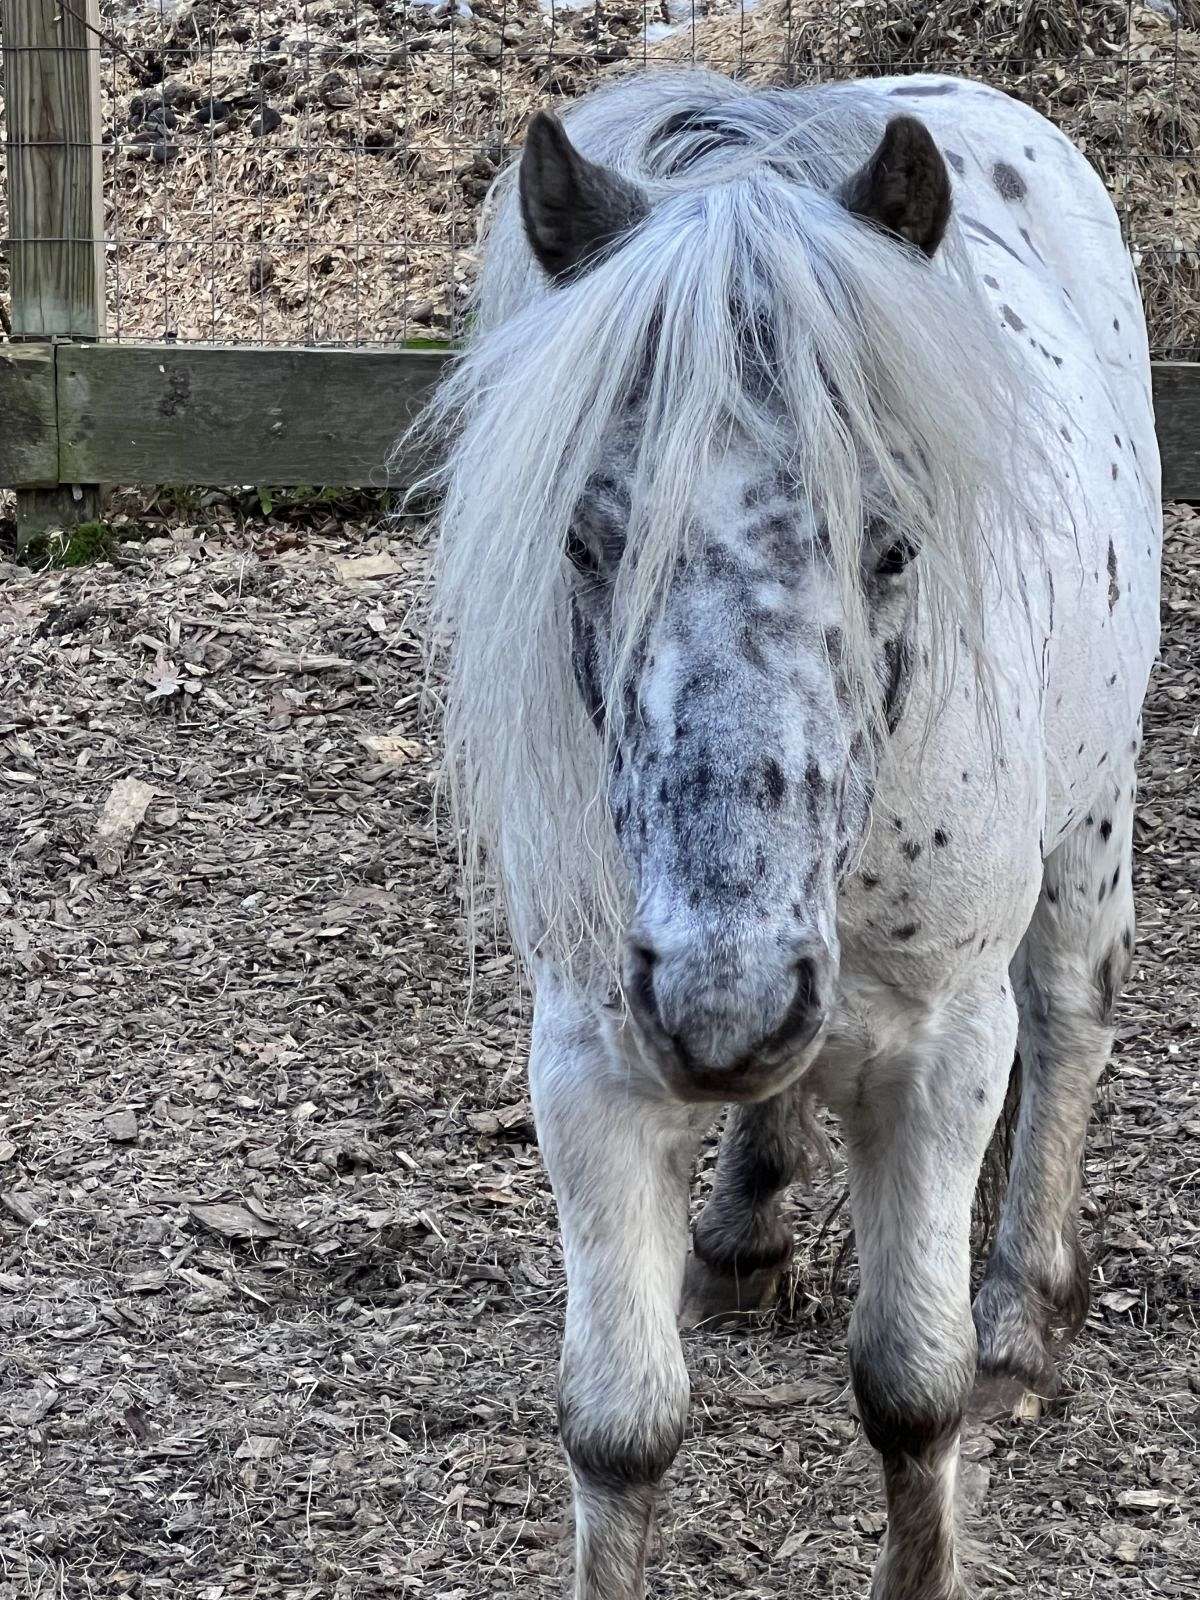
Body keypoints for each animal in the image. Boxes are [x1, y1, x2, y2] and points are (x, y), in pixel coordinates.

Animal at [409, 67, 1162, 1600]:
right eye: (587, 541)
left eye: (893, 542)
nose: (724, 997)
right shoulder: (590, 1056)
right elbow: (619, 1424)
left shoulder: (946, 1051)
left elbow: (913, 1389)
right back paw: (744, 1223)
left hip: (1092, 826)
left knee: (1070, 1020)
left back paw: (1024, 1308)